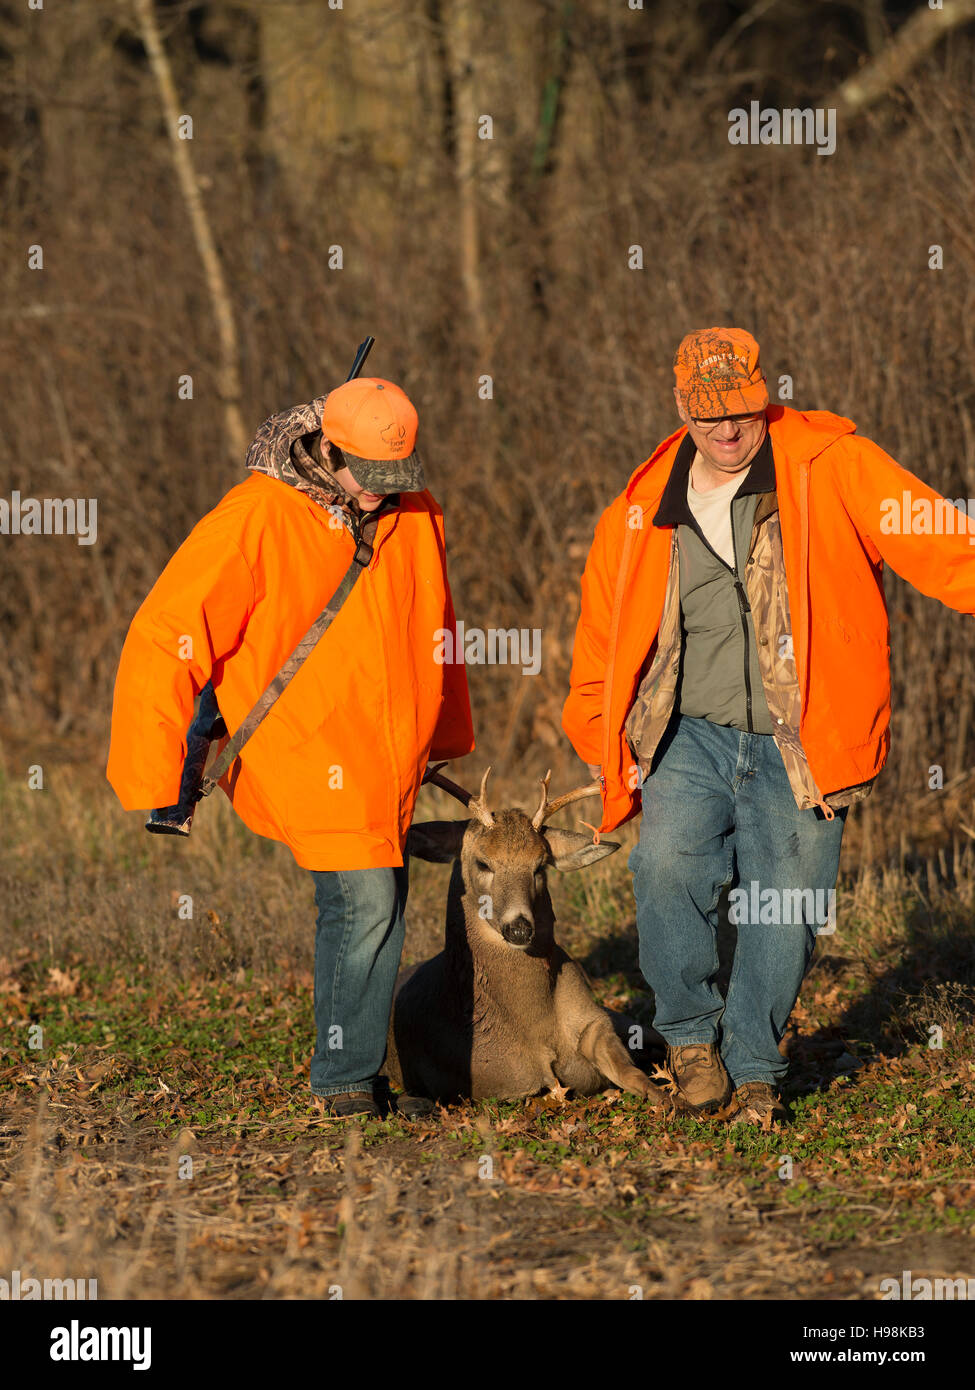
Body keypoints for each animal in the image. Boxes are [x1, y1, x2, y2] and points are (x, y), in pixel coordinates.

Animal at [384, 765, 675, 1112]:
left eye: (539, 867)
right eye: (483, 863)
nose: (519, 928)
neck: (536, 1022)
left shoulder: (595, 1021)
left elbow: (628, 1070)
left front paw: (670, 1098)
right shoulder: (500, 1082)